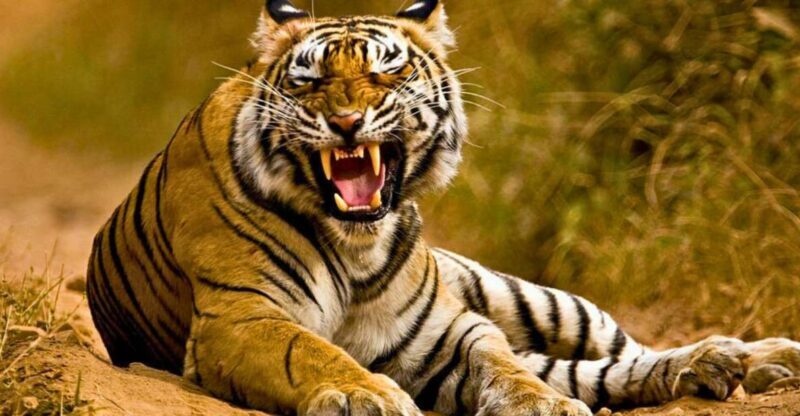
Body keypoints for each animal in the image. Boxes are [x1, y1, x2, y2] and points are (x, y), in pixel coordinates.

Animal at [85, 1, 800, 415]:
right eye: (309, 80)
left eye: (388, 72)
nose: (346, 122)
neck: (357, 244)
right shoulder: (242, 316)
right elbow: (309, 351)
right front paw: (365, 394)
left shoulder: (445, 330)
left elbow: (504, 366)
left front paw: (543, 407)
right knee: (592, 370)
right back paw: (722, 368)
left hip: (529, 296)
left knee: (616, 348)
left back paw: (751, 358)